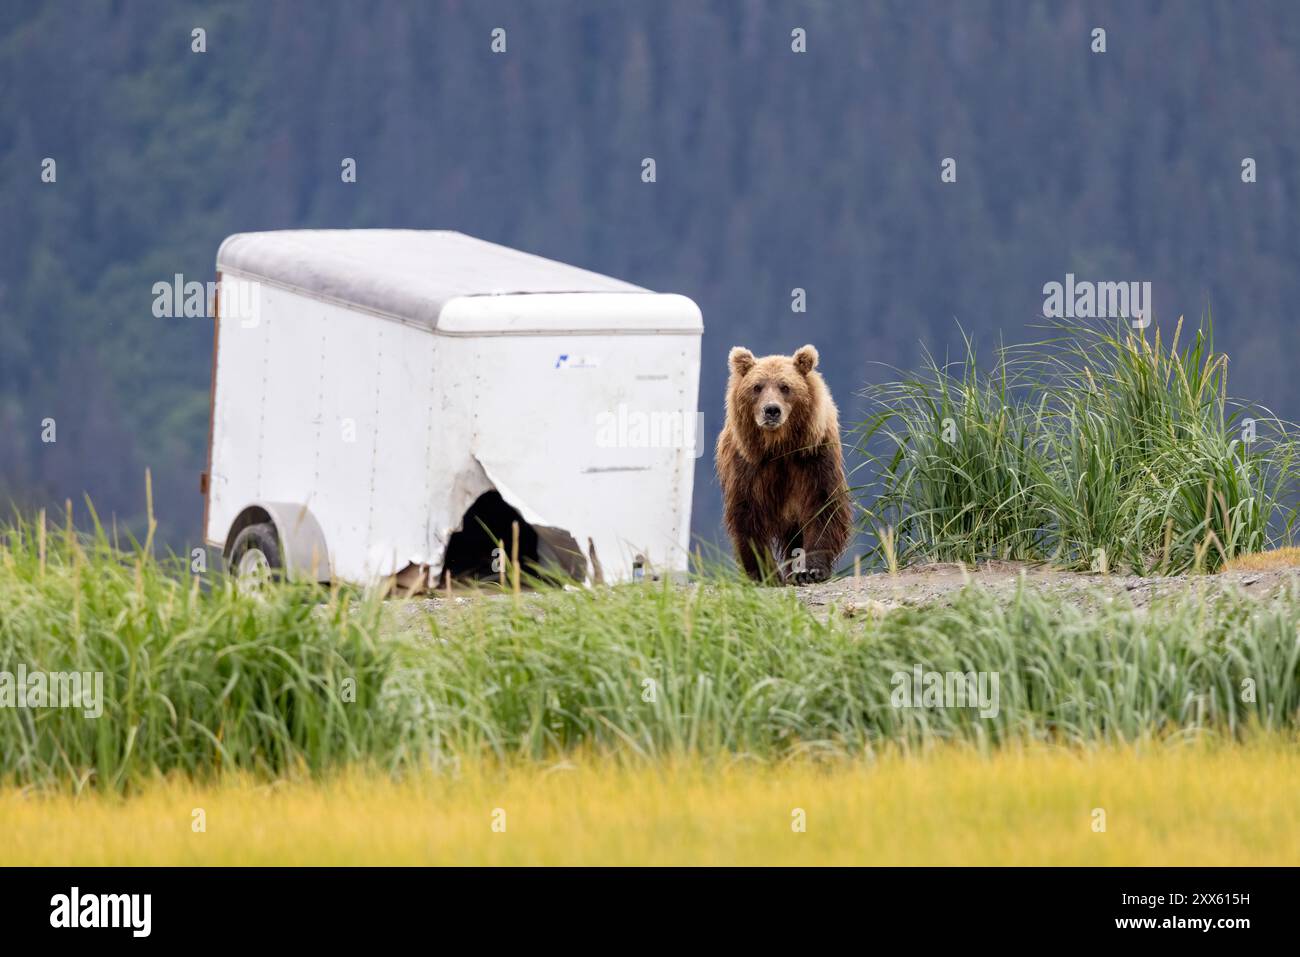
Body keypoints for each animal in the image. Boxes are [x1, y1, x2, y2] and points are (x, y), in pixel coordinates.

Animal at [716, 344, 852, 584]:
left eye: (785, 386)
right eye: (757, 387)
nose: (771, 410)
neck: (779, 446)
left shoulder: (813, 457)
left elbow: (823, 507)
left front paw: (810, 570)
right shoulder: (748, 466)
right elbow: (748, 515)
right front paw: (765, 574)